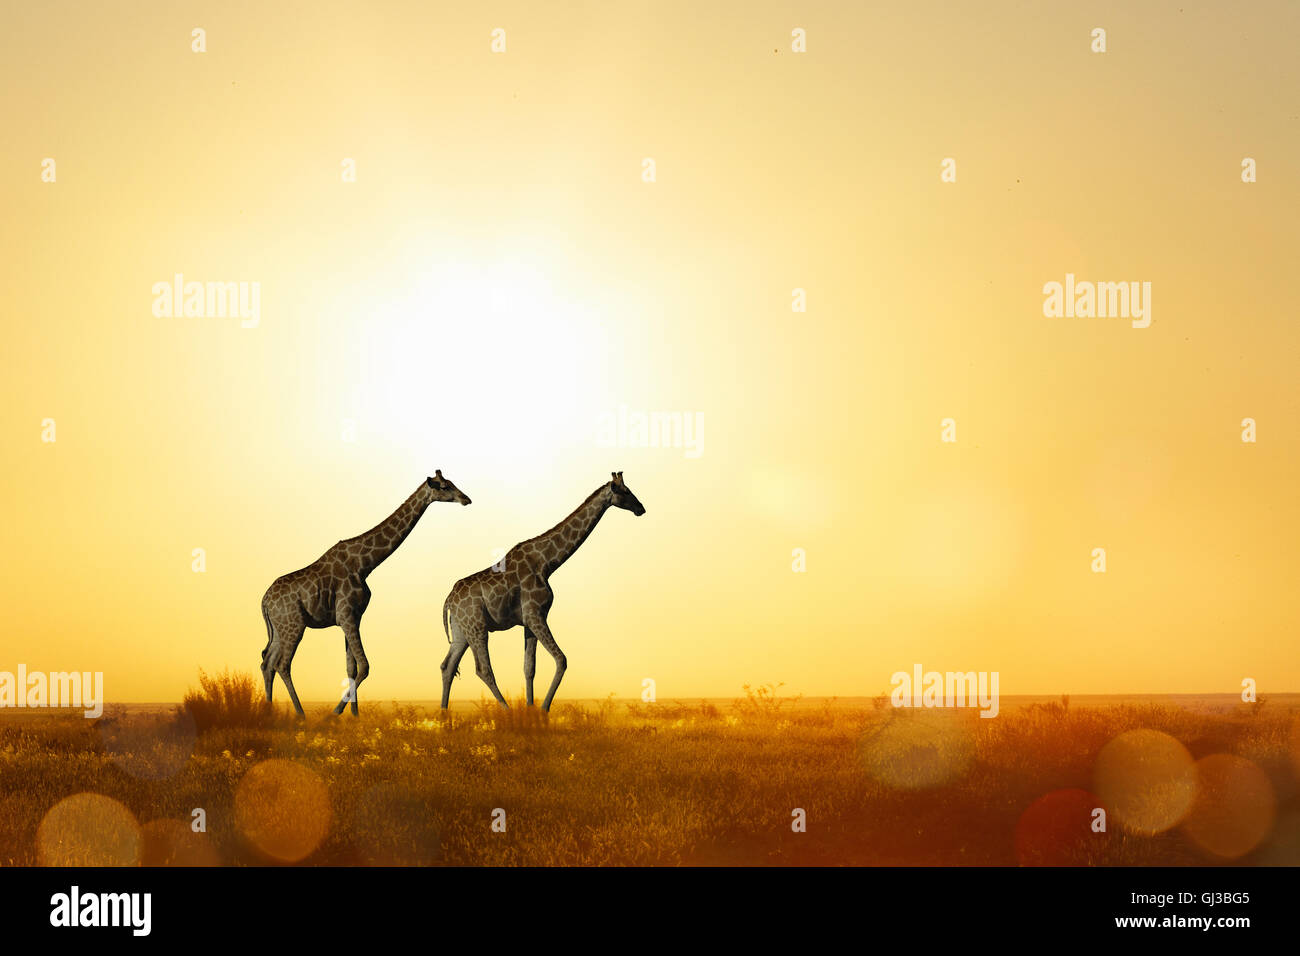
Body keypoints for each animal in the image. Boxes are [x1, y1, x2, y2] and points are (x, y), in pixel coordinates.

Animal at [260, 472, 471, 717]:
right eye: (445, 487)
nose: (466, 499)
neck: (364, 564)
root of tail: (264, 601)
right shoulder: (346, 616)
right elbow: (365, 666)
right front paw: (336, 713)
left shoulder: (354, 617)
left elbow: (351, 668)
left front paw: (354, 714)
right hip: (293, 625)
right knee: (282, 664)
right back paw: (301, 714)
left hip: (279, 628)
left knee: (267, 662)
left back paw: (268, 711)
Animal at [440, 472, 645, 711]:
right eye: (625, 491)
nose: (641, 508)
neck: (547, 563)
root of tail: (448, 600)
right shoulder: (536, 614)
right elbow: (561, 659)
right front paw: (544, 709)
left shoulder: (529, 621)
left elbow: (529, 668)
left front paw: (531, 709)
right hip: (477, 627)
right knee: (483, 669)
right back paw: (507, 712)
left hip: (461, 630)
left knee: (447, 666)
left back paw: (444, 714)